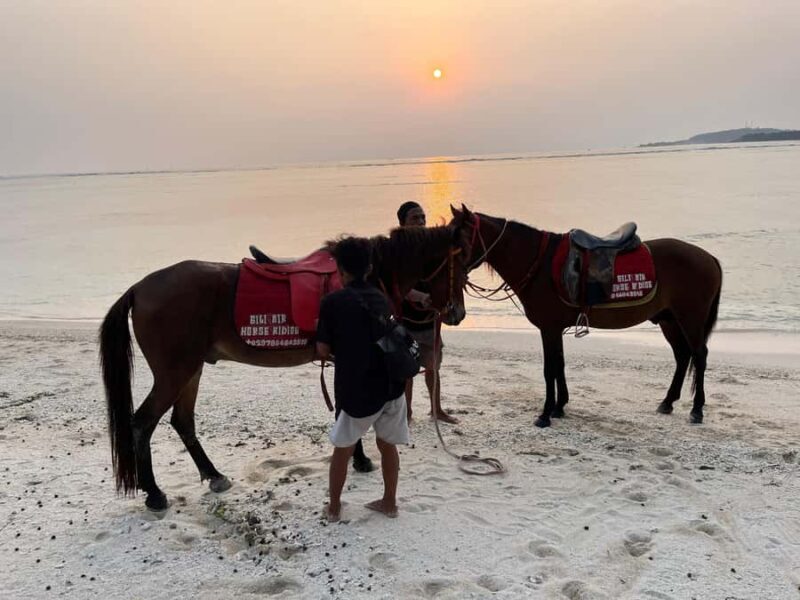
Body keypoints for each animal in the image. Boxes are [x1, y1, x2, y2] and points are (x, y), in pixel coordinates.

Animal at [100, 218, 472, 511]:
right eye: (463, 264)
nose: (457, 313)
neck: (364, 279)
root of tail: (139, 288)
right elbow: (347, 408)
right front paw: (362, 459)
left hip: (191, 370)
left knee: (182, 421)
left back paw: (214, 475)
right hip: (174, 373)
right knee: (141, 423)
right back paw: (154, 493)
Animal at [451, 205, 722, 428]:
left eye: (458, 239)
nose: (450, 270)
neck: (539, 263)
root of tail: (709, 258)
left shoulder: (548, 328)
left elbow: (549, 369)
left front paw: (545, 414)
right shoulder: (555, 329)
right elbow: (559, 365)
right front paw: (559, 407)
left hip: (690, 319)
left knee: (699, 355)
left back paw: (697, 410)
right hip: (669, 320)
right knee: (682, 356)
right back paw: (667, 402)